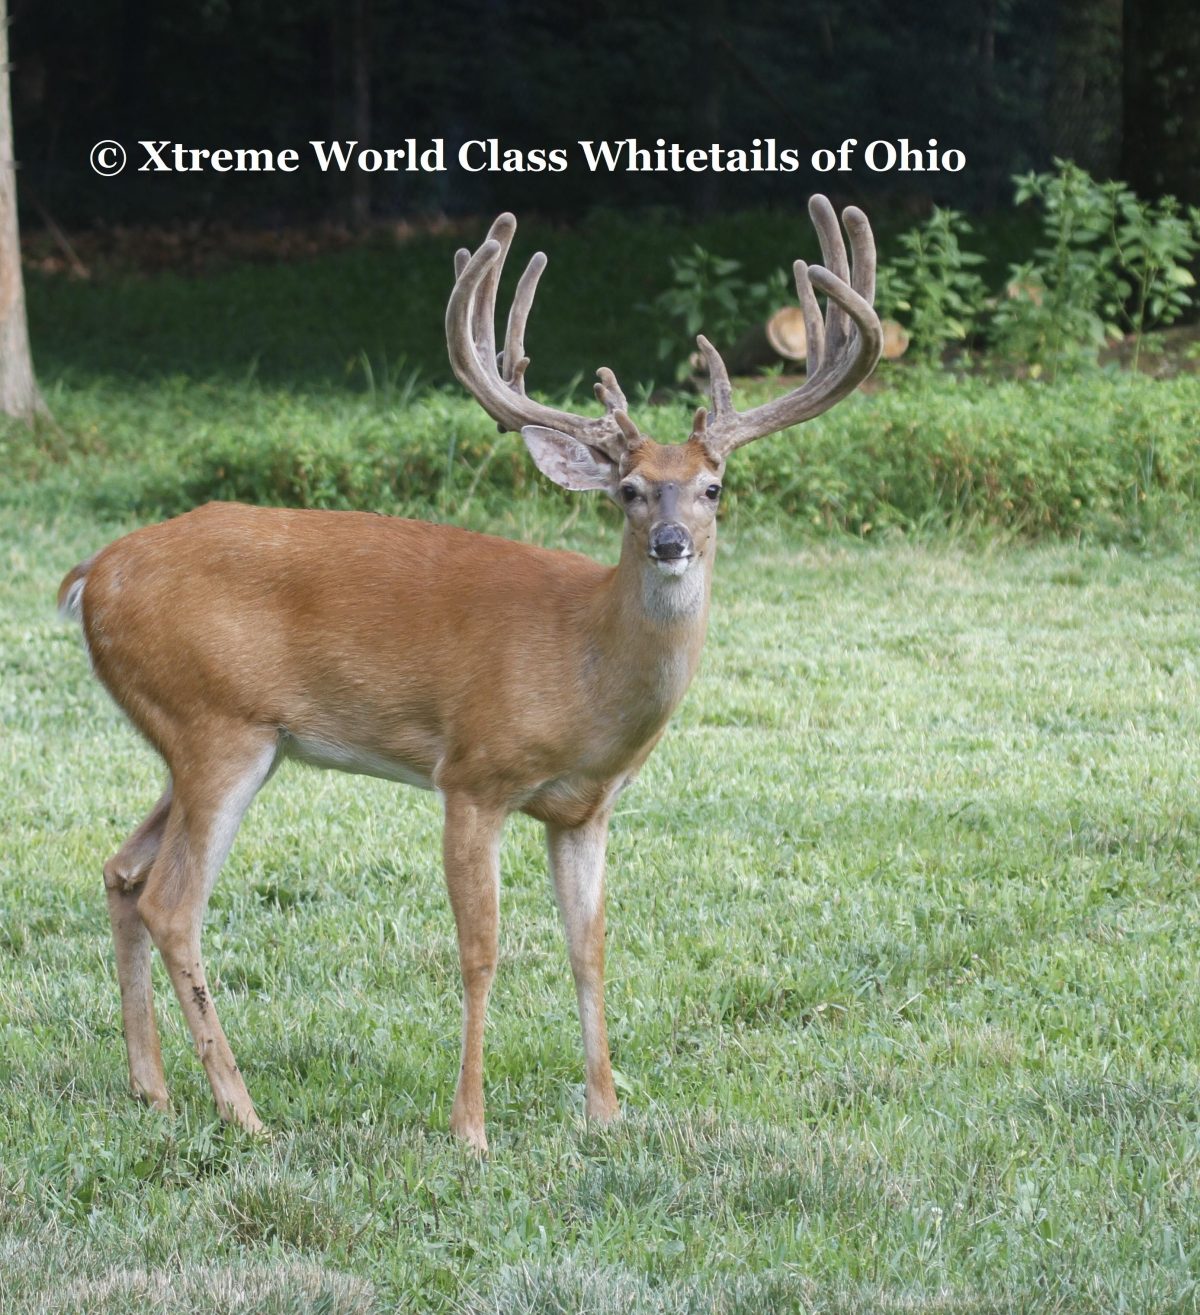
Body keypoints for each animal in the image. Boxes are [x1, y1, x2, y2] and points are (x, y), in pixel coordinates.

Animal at [58, 195, 881, 1152]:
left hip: (198, 736)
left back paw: (152, 1090)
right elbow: (481, 950)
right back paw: (243, 1111)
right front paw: (471, 1128)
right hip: (215, 723)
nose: (672, 543)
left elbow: (589, 946)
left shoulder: (586, 809)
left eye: (713, 486)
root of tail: (92, 575)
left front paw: (607, 1112)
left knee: (122, 872)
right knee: (173, 902)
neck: (585, 667)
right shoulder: (473, 774)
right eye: (629, 491)